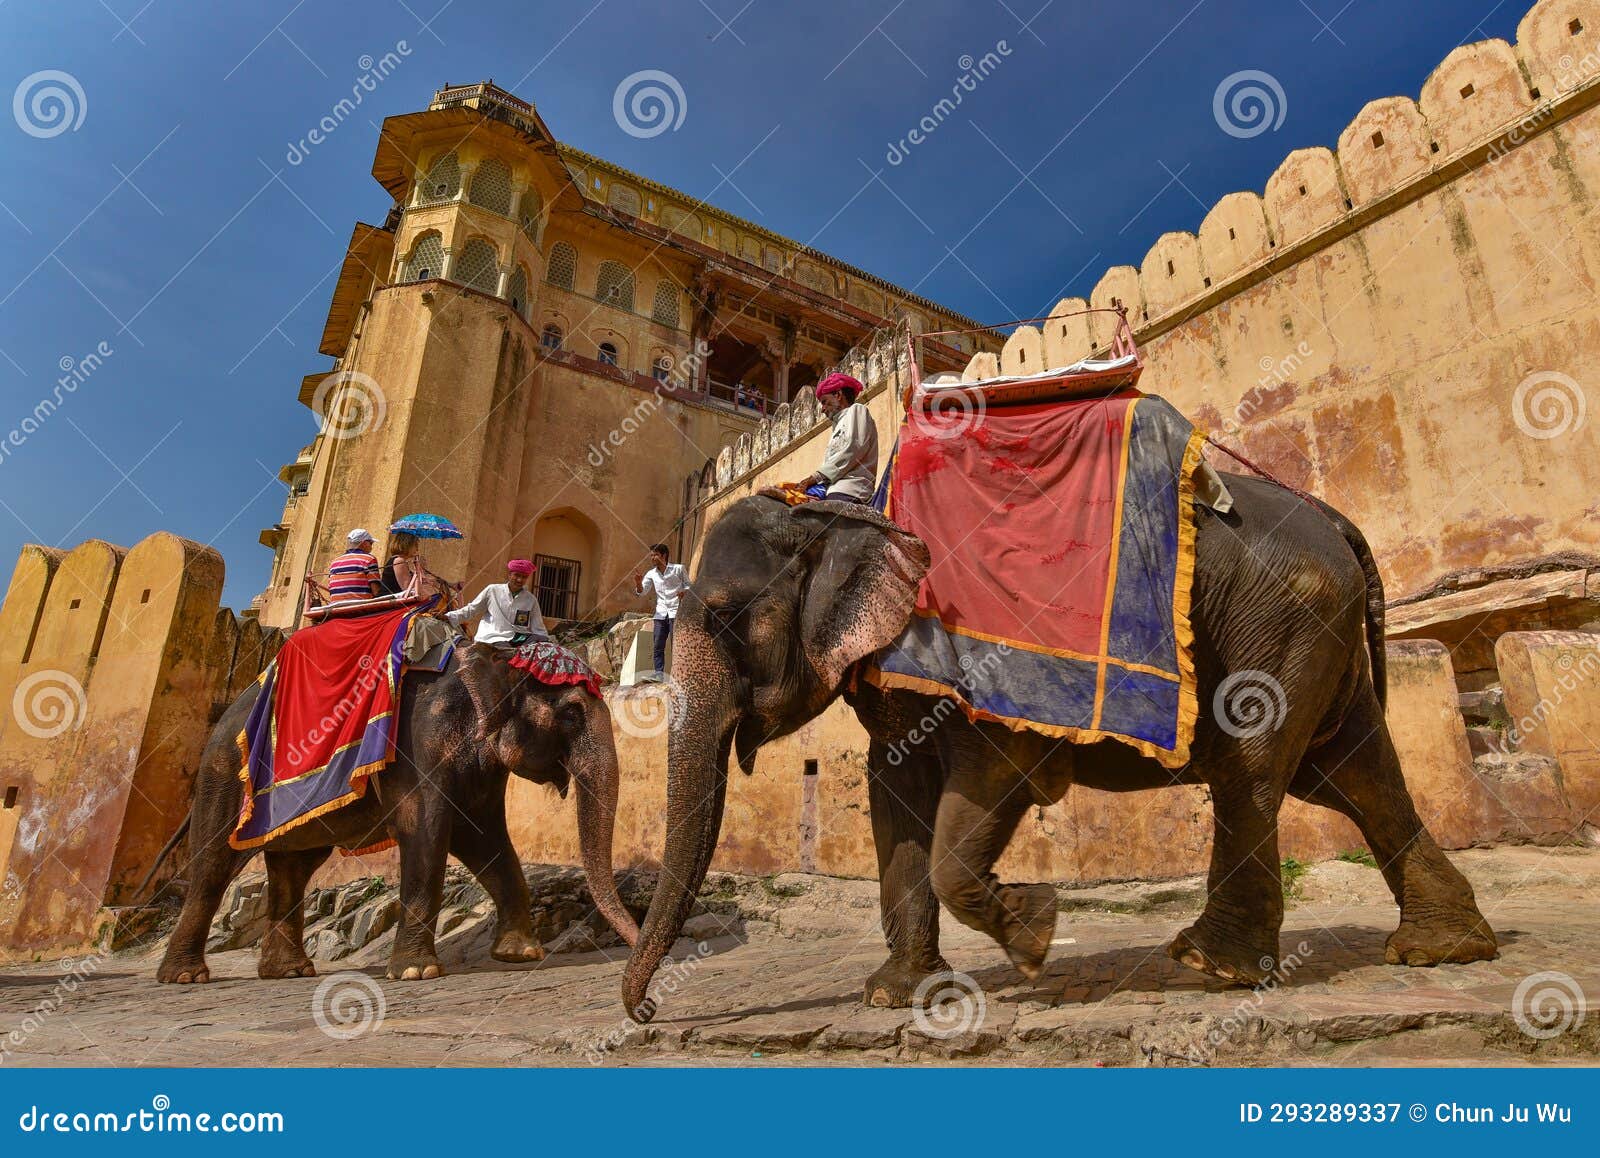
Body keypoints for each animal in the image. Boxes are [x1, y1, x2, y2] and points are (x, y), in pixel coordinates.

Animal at [153, 643, 638, 984]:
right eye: (572, 713)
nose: (635, 944)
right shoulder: (421, 747)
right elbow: (426, 836)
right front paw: (415, 972)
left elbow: (488, 843)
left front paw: (520, 954)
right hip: (223, 776)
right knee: (214, 866)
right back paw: (185, 977)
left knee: (294, 867)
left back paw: (289, 972)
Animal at [622, 482, 1498, 1019]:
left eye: (726, 618)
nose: (648, 1012)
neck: (851, 515)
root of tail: (1334, 518)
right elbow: (895, 797)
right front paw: (895, 996)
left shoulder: (977, 660)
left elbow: (998, 782)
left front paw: (1036, 937)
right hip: (1316, 634)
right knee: (1350, 774)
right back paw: (1443, 950)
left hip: (1278, 625)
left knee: (1255, 769)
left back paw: (1207, 966)